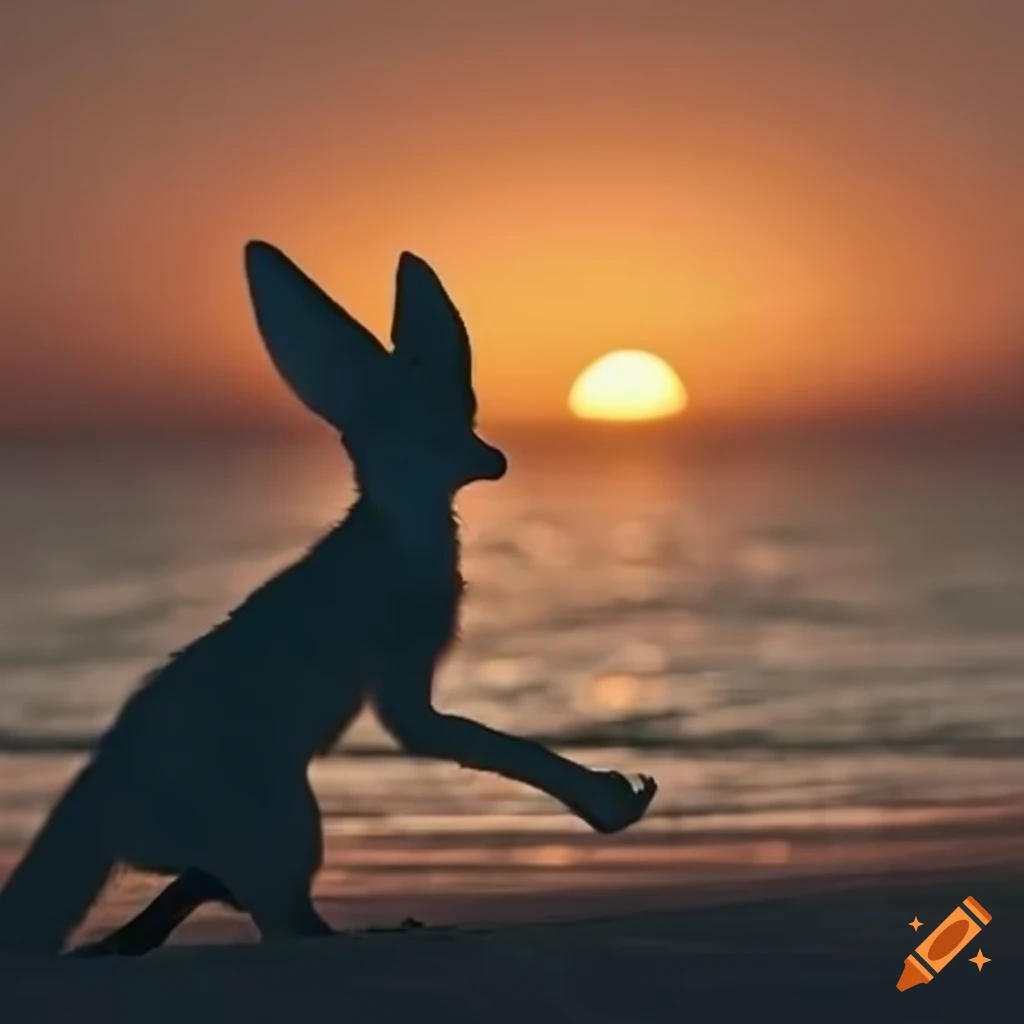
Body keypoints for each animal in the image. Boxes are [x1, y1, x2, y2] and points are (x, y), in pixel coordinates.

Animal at [0, 242, 657, 957]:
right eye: (436, 434)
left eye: (467, 414)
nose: (495, 461)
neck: (396, 532)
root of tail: (103, 809)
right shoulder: (399, 671)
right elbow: (467, 738)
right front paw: (615, 800)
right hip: (287, 823)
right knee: (281, 924)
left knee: (212, 896)